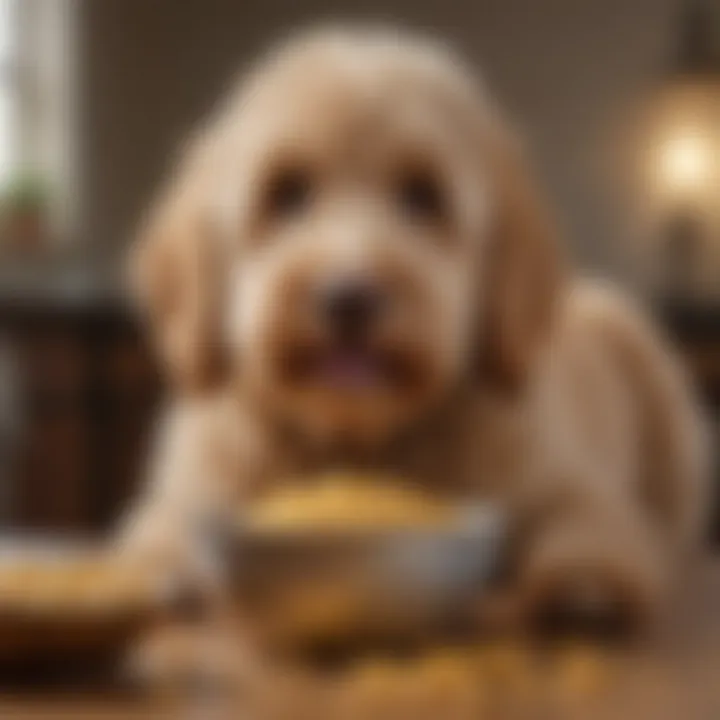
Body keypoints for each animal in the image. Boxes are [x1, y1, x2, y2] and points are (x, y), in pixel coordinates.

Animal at [124, 25, 708, 640]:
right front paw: (161, 569)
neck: (366, 442)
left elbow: (586, 523)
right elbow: (164, 525)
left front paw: (582, 584)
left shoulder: (569, 487)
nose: (349, 296)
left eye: (422, 195)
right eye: (287, 192)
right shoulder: (199, 487)